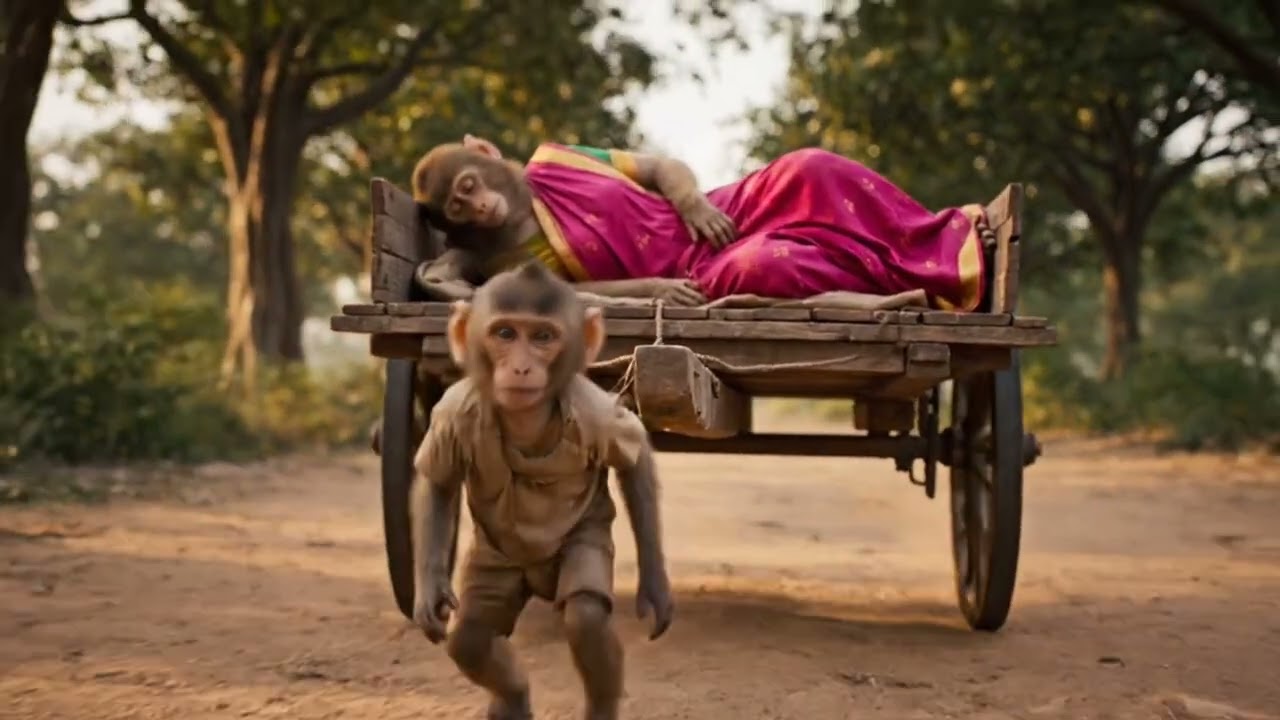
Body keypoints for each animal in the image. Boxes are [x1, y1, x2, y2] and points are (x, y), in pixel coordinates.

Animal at [409, 260, 674, 720]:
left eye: (543, 338)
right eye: (505, 334)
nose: (521, 368)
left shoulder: (593, 410)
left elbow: (635, 462)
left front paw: (655, 588)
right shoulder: (452, 412)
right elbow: (438, 483)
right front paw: (430, 592)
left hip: (583, 549)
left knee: (585, 617)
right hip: (493, 568)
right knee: (472, 636)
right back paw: (512, 699)